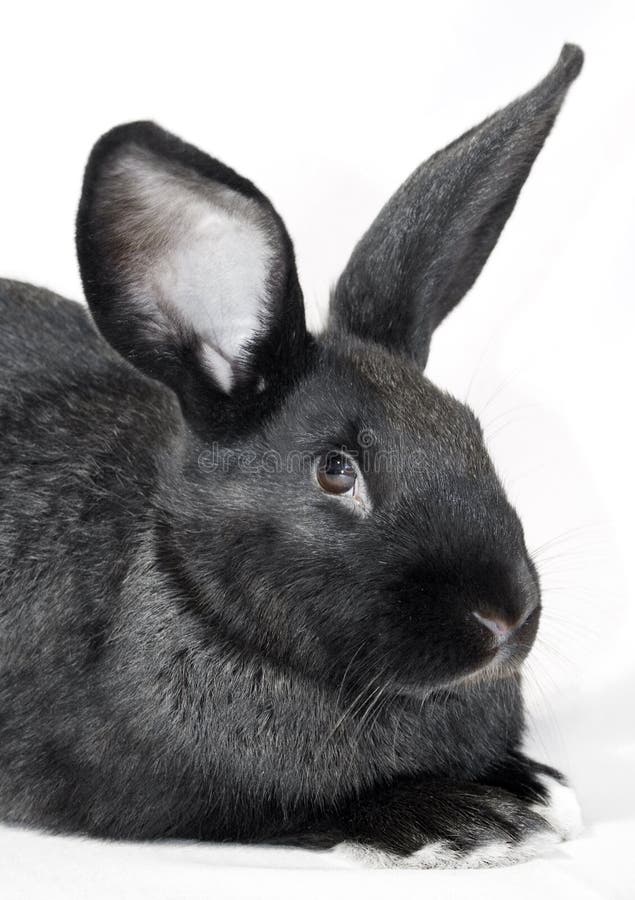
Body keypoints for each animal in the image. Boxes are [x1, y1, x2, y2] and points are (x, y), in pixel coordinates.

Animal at [0, 45, 584, 868]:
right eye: (336, 471)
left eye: (471, 432)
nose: (505, 619)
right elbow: (316, 804)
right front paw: (475, 822)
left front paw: (535, 785)